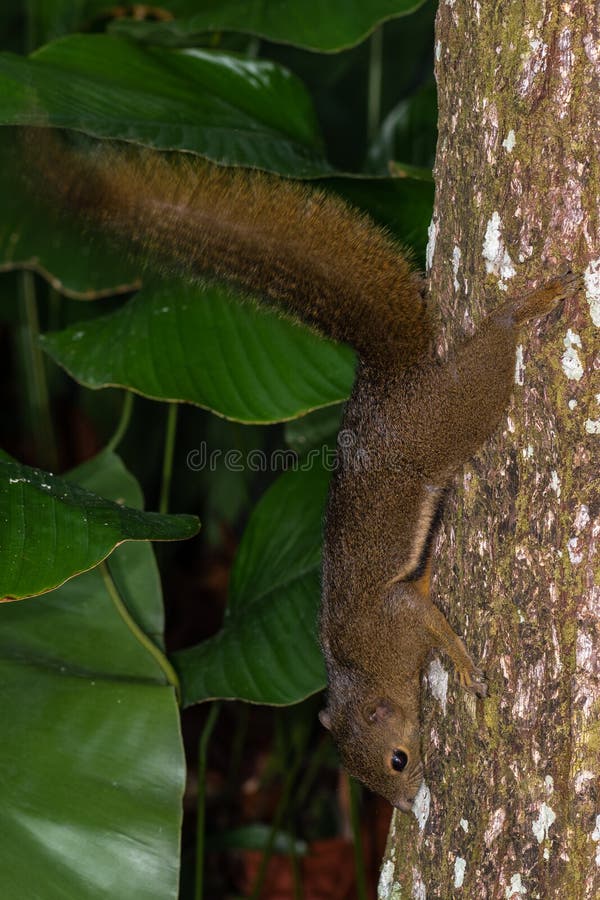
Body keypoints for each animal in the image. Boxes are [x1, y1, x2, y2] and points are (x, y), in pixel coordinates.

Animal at [22, 128, 579, 811]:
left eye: (396, 760)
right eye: (365, 779)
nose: (407, 804)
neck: (363, 671)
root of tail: (385, 383)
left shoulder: (397, 621)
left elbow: (431, 627)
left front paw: (466, 667)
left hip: (443, 418)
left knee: (490, 362)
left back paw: (526, 309)